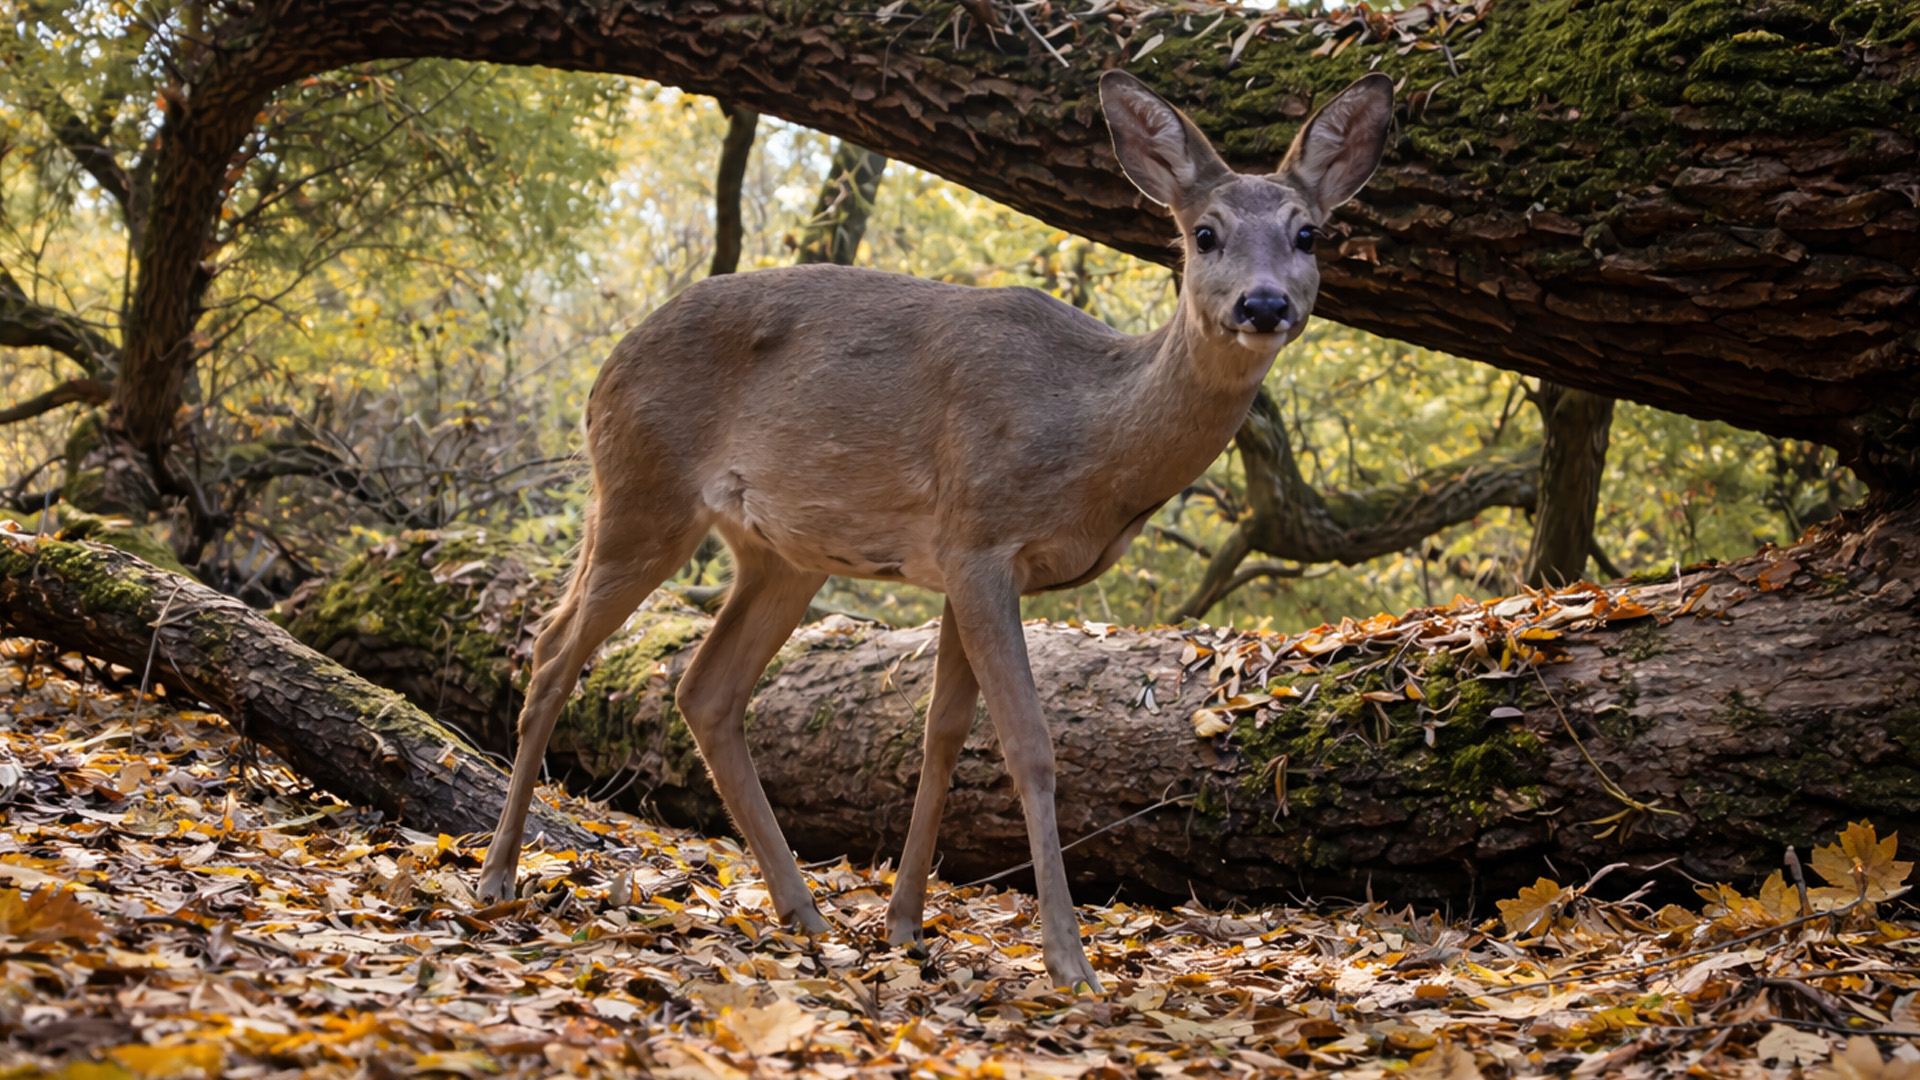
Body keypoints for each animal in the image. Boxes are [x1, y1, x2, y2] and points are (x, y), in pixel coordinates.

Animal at [475, 70, 1393, 990]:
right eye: (1204, 233)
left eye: (1308, 233)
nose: (1264, 303)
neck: (1091, 433)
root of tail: (599, 374)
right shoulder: (981, 536)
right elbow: (1027, 744)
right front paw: (1068, 960)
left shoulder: (959, 558)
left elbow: (942, 734)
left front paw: (906, 924)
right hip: (644, 489)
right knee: (555, 652)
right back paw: (499, 875)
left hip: (778, 552)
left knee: (705, 689)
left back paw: (803, 909)